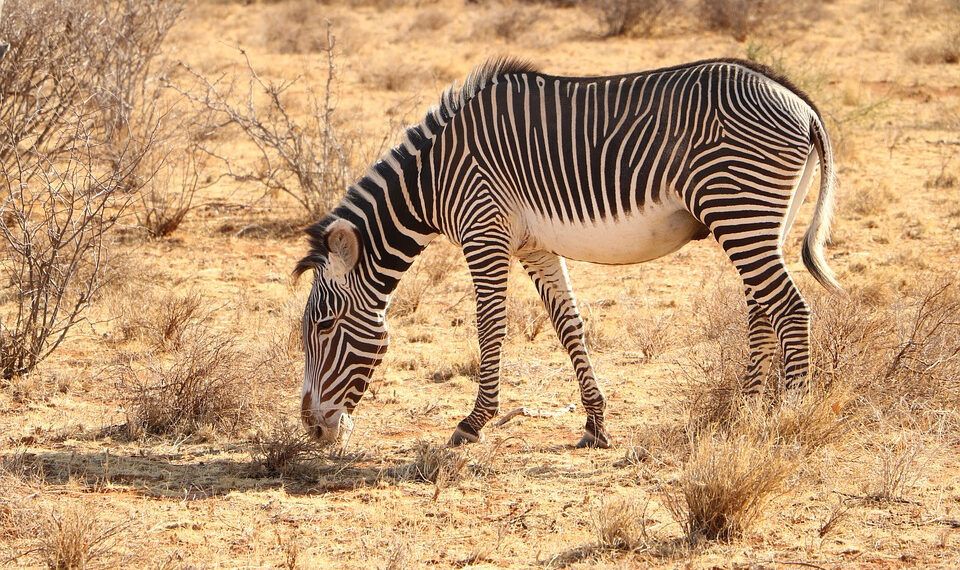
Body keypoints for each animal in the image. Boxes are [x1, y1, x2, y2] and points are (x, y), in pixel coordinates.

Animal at [294, 57, 839, 449]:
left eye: (323, 326)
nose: (313, 429)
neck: (434, 177)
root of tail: (800, 101)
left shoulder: (483, 231)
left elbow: (490, 328)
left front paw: (473, 423)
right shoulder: (534, 246)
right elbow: (568, 323)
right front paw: (596, 423)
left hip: (739, 209)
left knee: (790, 309)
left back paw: (788, 417)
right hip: (758, 219)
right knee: (762, 310)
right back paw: (742, 412)